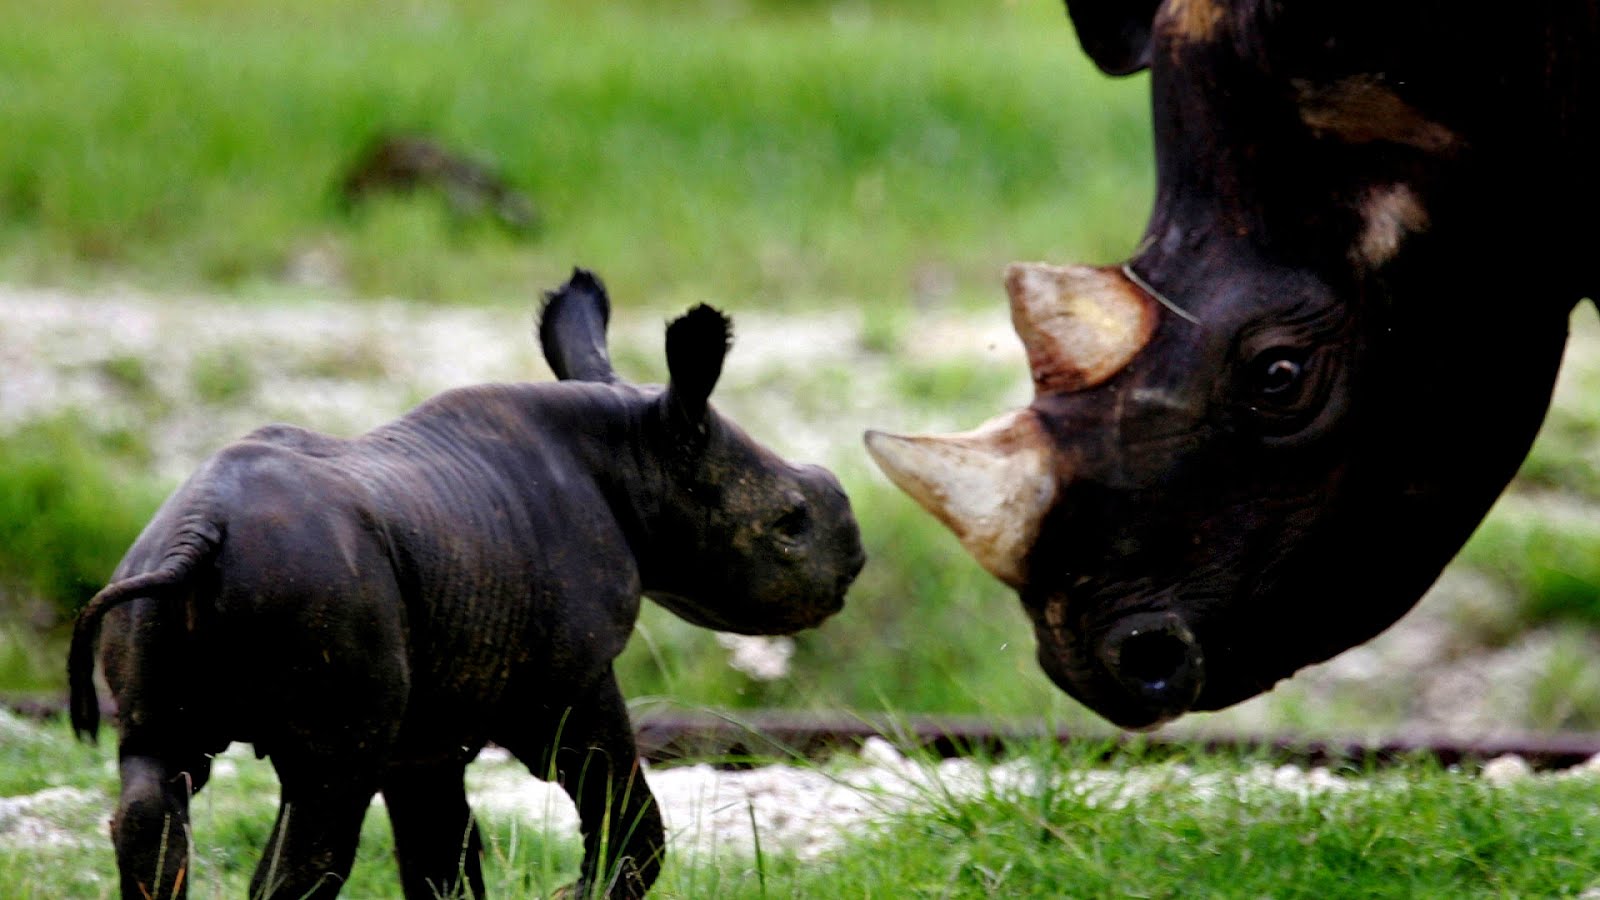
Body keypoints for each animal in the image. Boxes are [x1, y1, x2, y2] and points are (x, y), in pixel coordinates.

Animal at [68, 269, 865, 899]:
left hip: (156, 591)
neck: (639, 456)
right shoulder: (569, 675)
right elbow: (624, 812)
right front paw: (579, 894)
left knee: (159, 776)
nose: (854, 562)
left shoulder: (430, 728)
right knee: (324, 798)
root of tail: (200, 530)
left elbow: (440, 854)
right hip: (321, 590)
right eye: (791, 523)